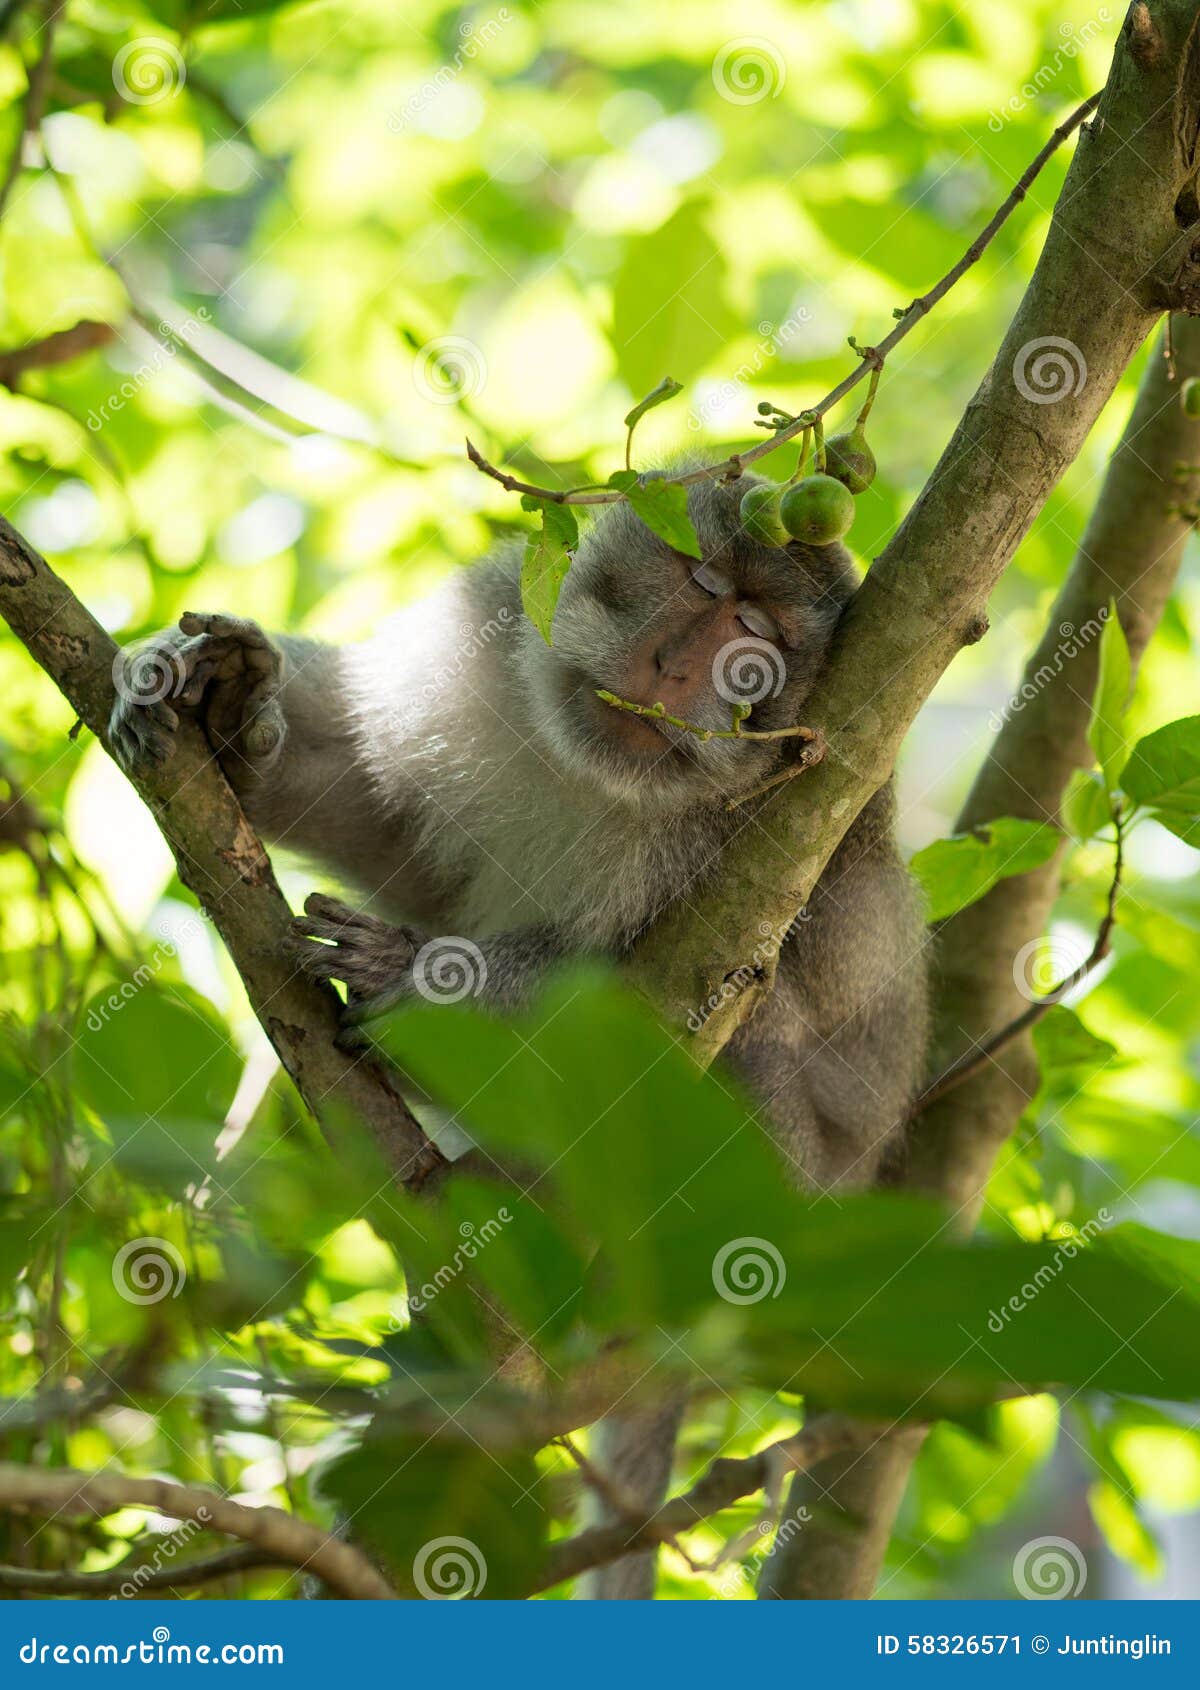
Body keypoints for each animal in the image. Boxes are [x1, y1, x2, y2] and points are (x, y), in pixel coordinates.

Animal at [110, 468, 929, 1598]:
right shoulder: (487, 640)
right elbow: (370, 802)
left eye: (758, 635)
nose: (680, 669)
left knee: (754, 1025)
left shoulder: (772, 819)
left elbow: (685, 993)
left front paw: (422, 980)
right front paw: (232, 709)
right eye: (702, 583)